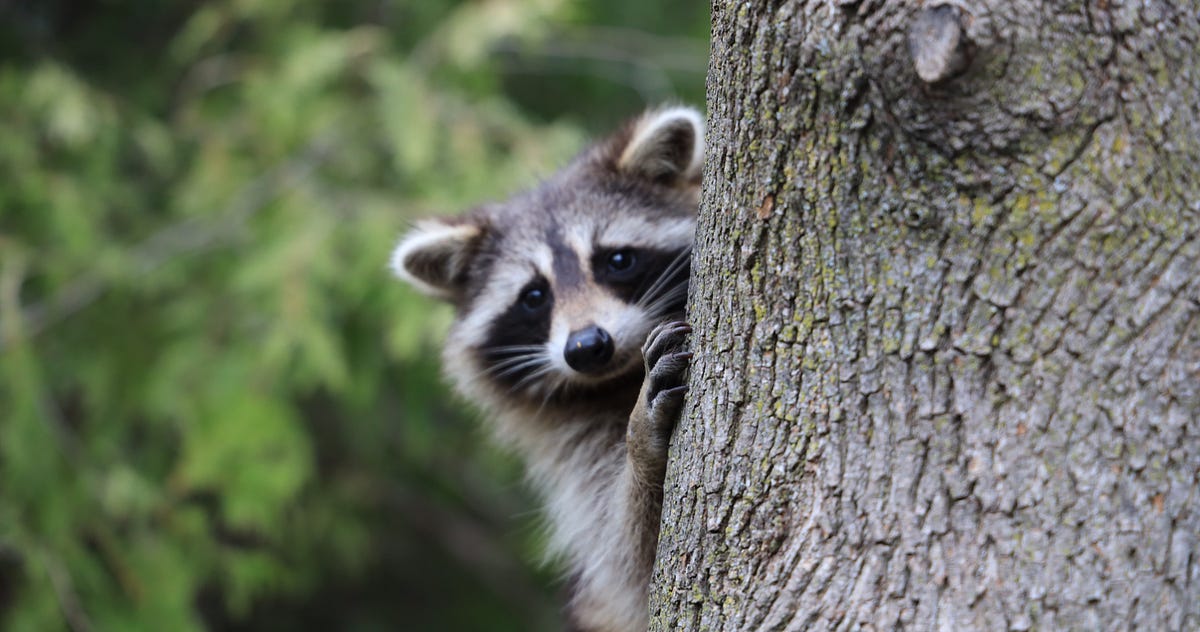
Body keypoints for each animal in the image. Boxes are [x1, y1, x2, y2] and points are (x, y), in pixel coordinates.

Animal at [390, 106, 703, 632]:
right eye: (534, 296)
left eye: (617, 259)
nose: (587, 347)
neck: (617, 381)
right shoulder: (577, 447)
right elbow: (628, 564)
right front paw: (641, 444)